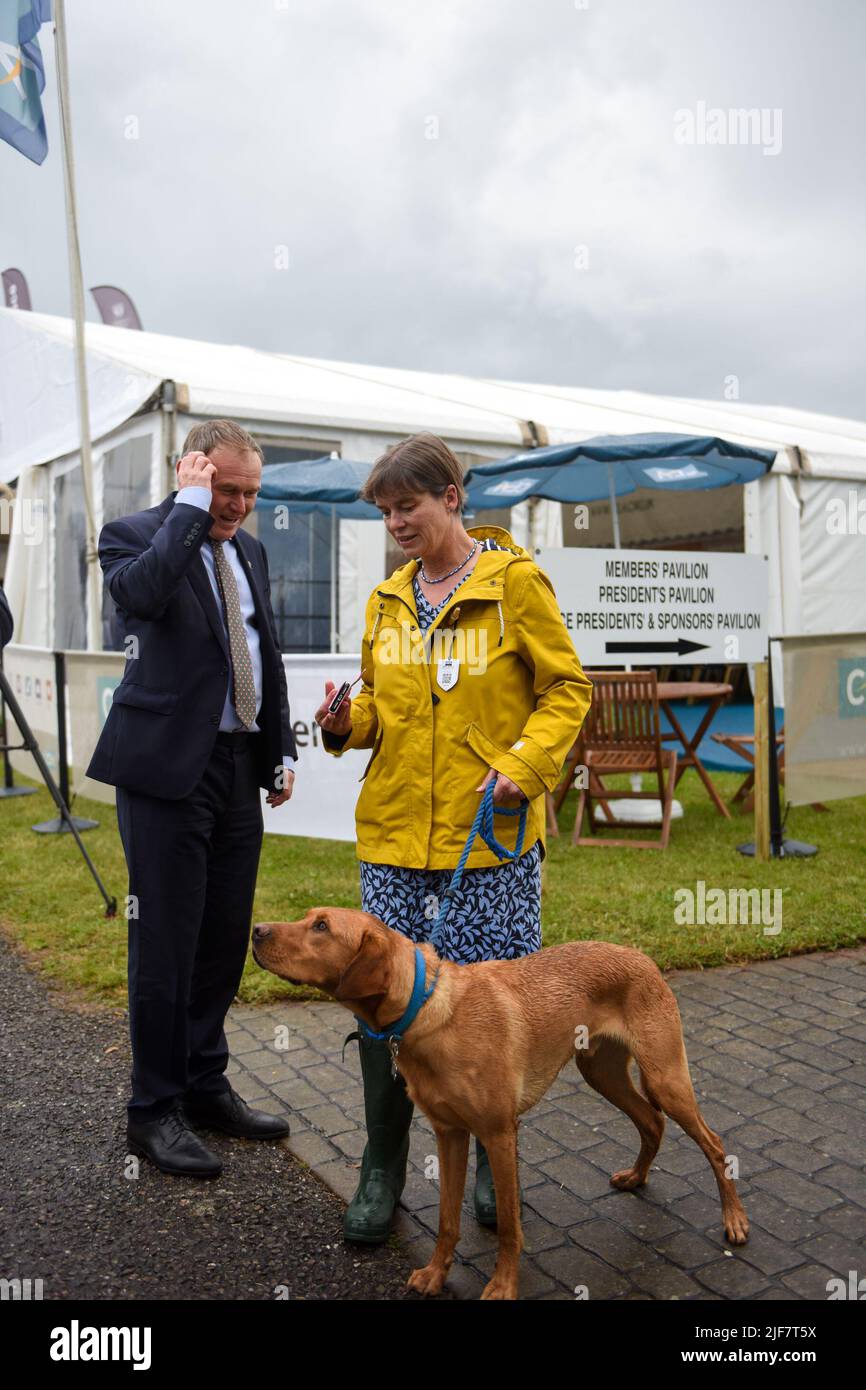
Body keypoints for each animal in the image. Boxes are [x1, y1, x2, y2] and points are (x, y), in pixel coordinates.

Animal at [254, 906, 750, 1295]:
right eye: (308, 917)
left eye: (321, 926)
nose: (256, 929)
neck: (427, 1009)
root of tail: (642, 956)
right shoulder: (449, 1133)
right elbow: (447, 1219)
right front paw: (435, 1274)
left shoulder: (497, 1132)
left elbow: (510, 1226)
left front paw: (503, 1286)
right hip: (602, 1072)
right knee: (652, 1121)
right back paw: (637, 1177)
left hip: (665, 1077)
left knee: (713, 1142)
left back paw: (735, 1220)